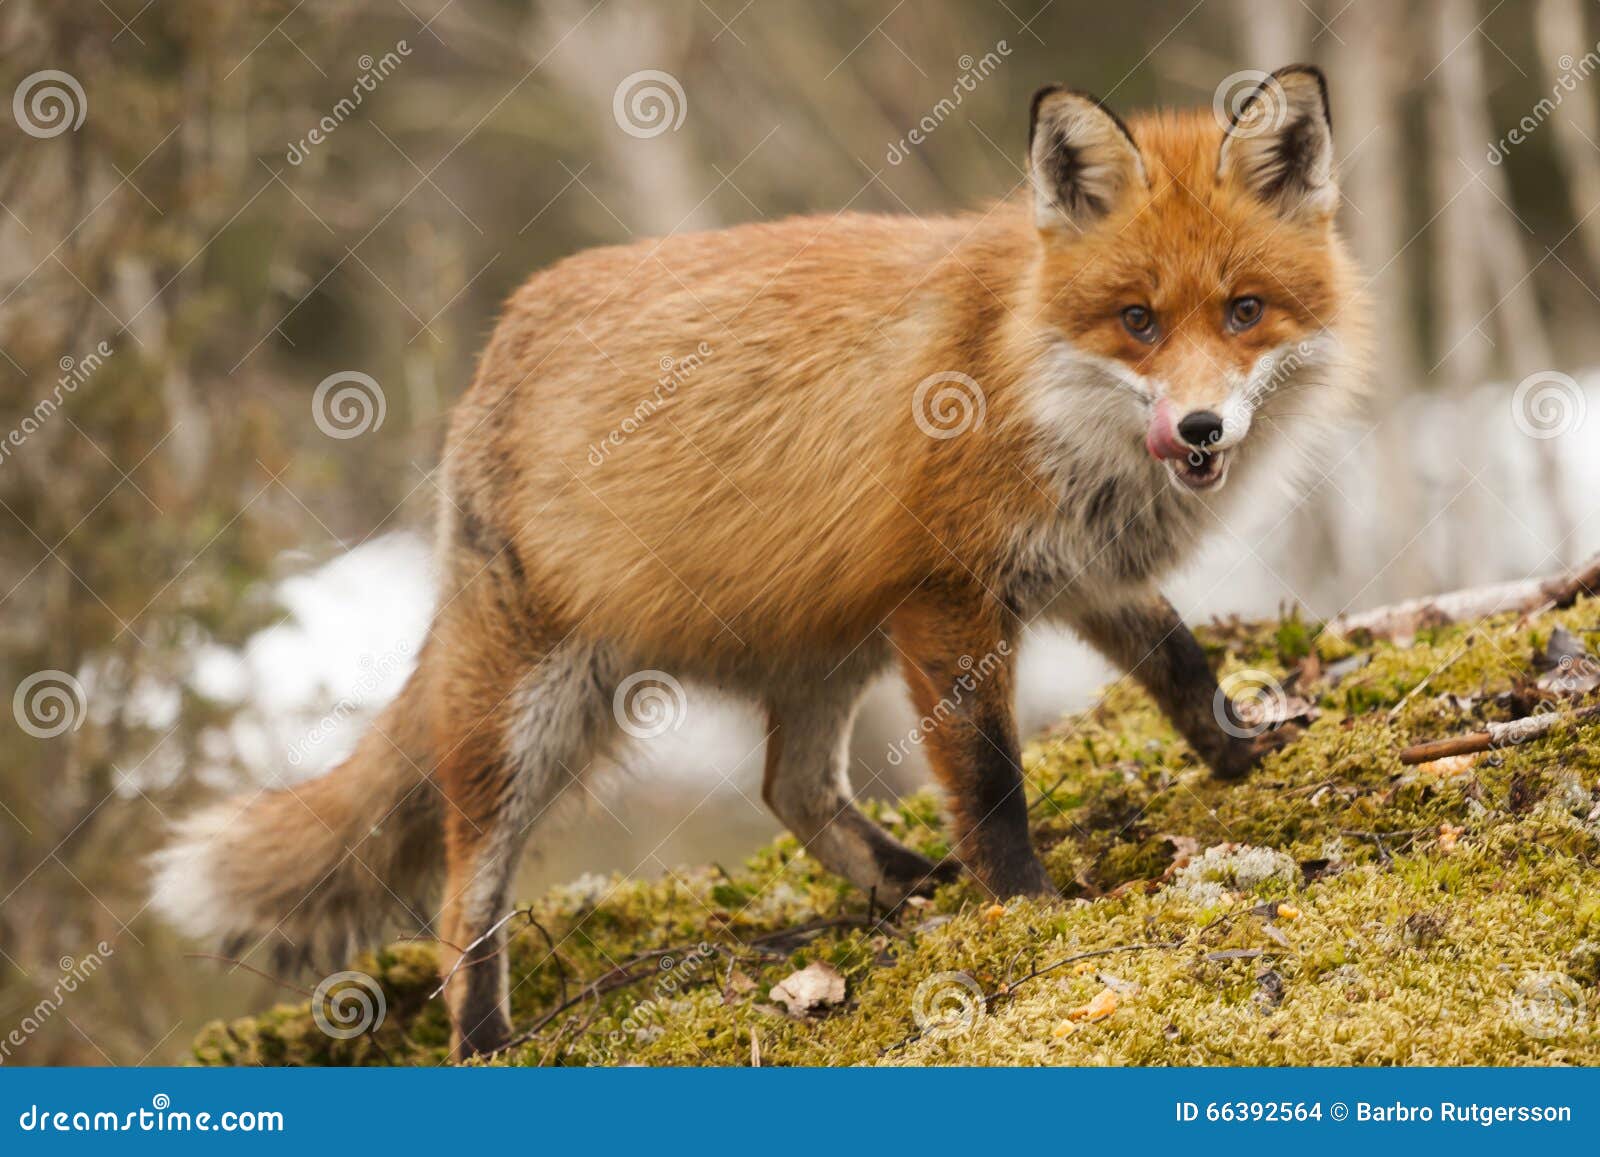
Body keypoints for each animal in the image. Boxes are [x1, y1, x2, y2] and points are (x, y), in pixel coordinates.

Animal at [153, 64, 1365, 1059]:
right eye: (1137, 321)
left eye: (1244, 311)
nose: (1200, 429)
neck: (1026, 376)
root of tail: (501, 340)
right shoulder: (949, 599)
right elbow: (989, 781)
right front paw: (1026, 906)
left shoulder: (1081, 574)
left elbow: (1180, 664)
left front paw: (1243, 751)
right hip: (532, 712)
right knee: (464, 901)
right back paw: (487, 1038)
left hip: (830, 647)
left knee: (791, 787)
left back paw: (906, 886)